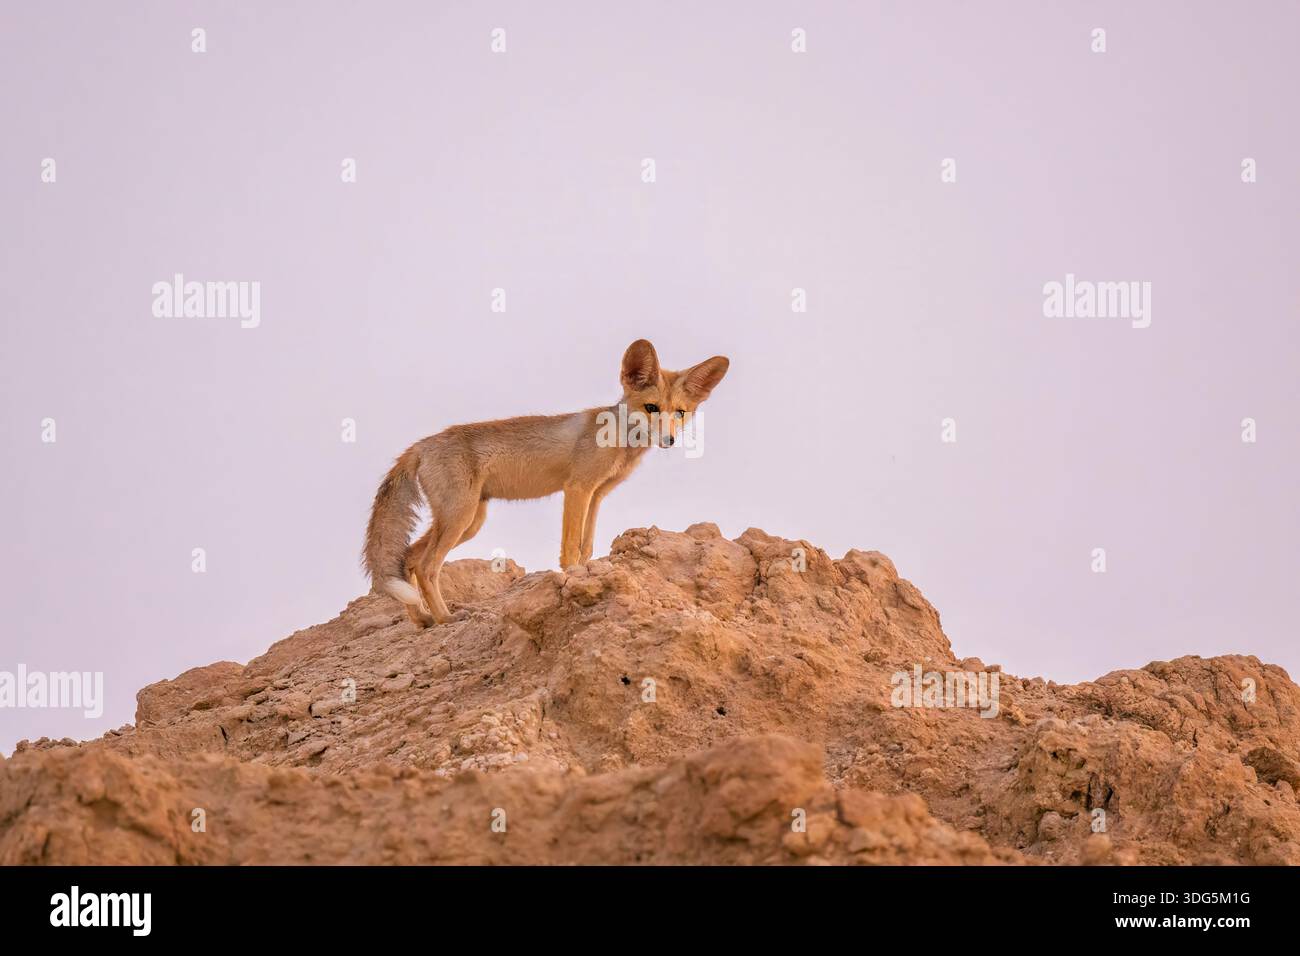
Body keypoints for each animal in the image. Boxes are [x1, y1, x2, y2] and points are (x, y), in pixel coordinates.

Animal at [363, 339, 729, 627]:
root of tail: (422, 444)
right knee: (426, 566)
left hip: (470, 521)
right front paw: (572, 579)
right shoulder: (577, 488)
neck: (617, 441)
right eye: (651, 407)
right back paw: (444, 618)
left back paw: (421, 619)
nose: (669, 440)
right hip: (460, 517)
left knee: (408, 558)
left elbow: (587, 546)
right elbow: (570, 549)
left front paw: (587, 575)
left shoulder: (597, 495)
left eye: (679, 412)